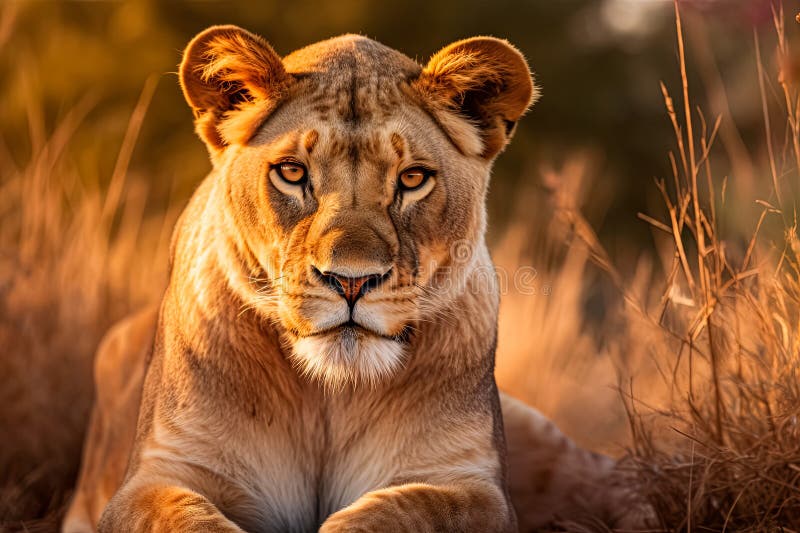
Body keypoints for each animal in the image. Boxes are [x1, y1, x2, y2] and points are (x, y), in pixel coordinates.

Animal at [62, 26, 636, 532]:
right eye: (292, 173)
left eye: (413, 178)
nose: (352, 281)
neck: (328, 399)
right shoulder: (158, 475)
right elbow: (188, 520)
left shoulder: (472, 484)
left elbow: (402, 511)